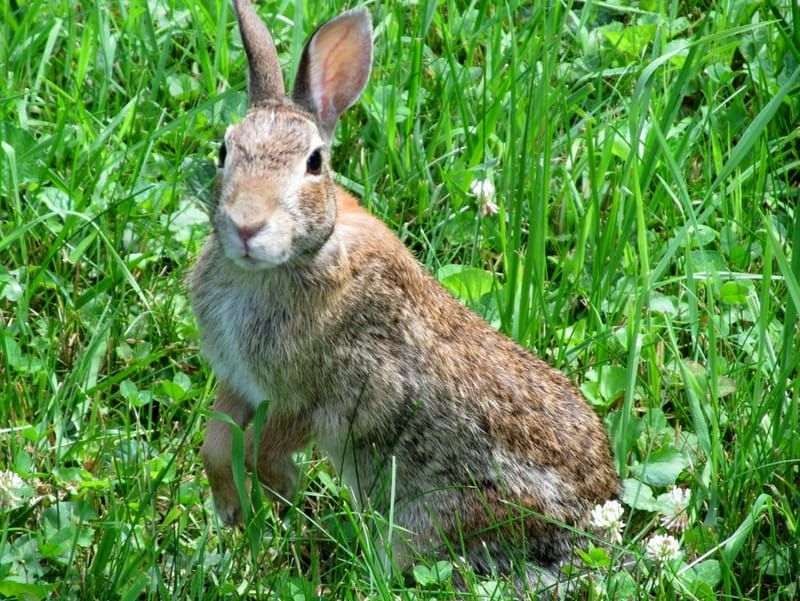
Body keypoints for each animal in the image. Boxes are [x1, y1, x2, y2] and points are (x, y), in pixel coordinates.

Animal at [192, 0, 620, 580]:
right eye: (224, 150)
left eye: (314, 163)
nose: (246, 225)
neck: (291, 260)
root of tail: (591, 532)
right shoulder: (239, 382)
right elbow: (217, 447)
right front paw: (233, 510)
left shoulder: (322, 397)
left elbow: (265, 448)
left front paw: (280, 495)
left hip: (437, 515)